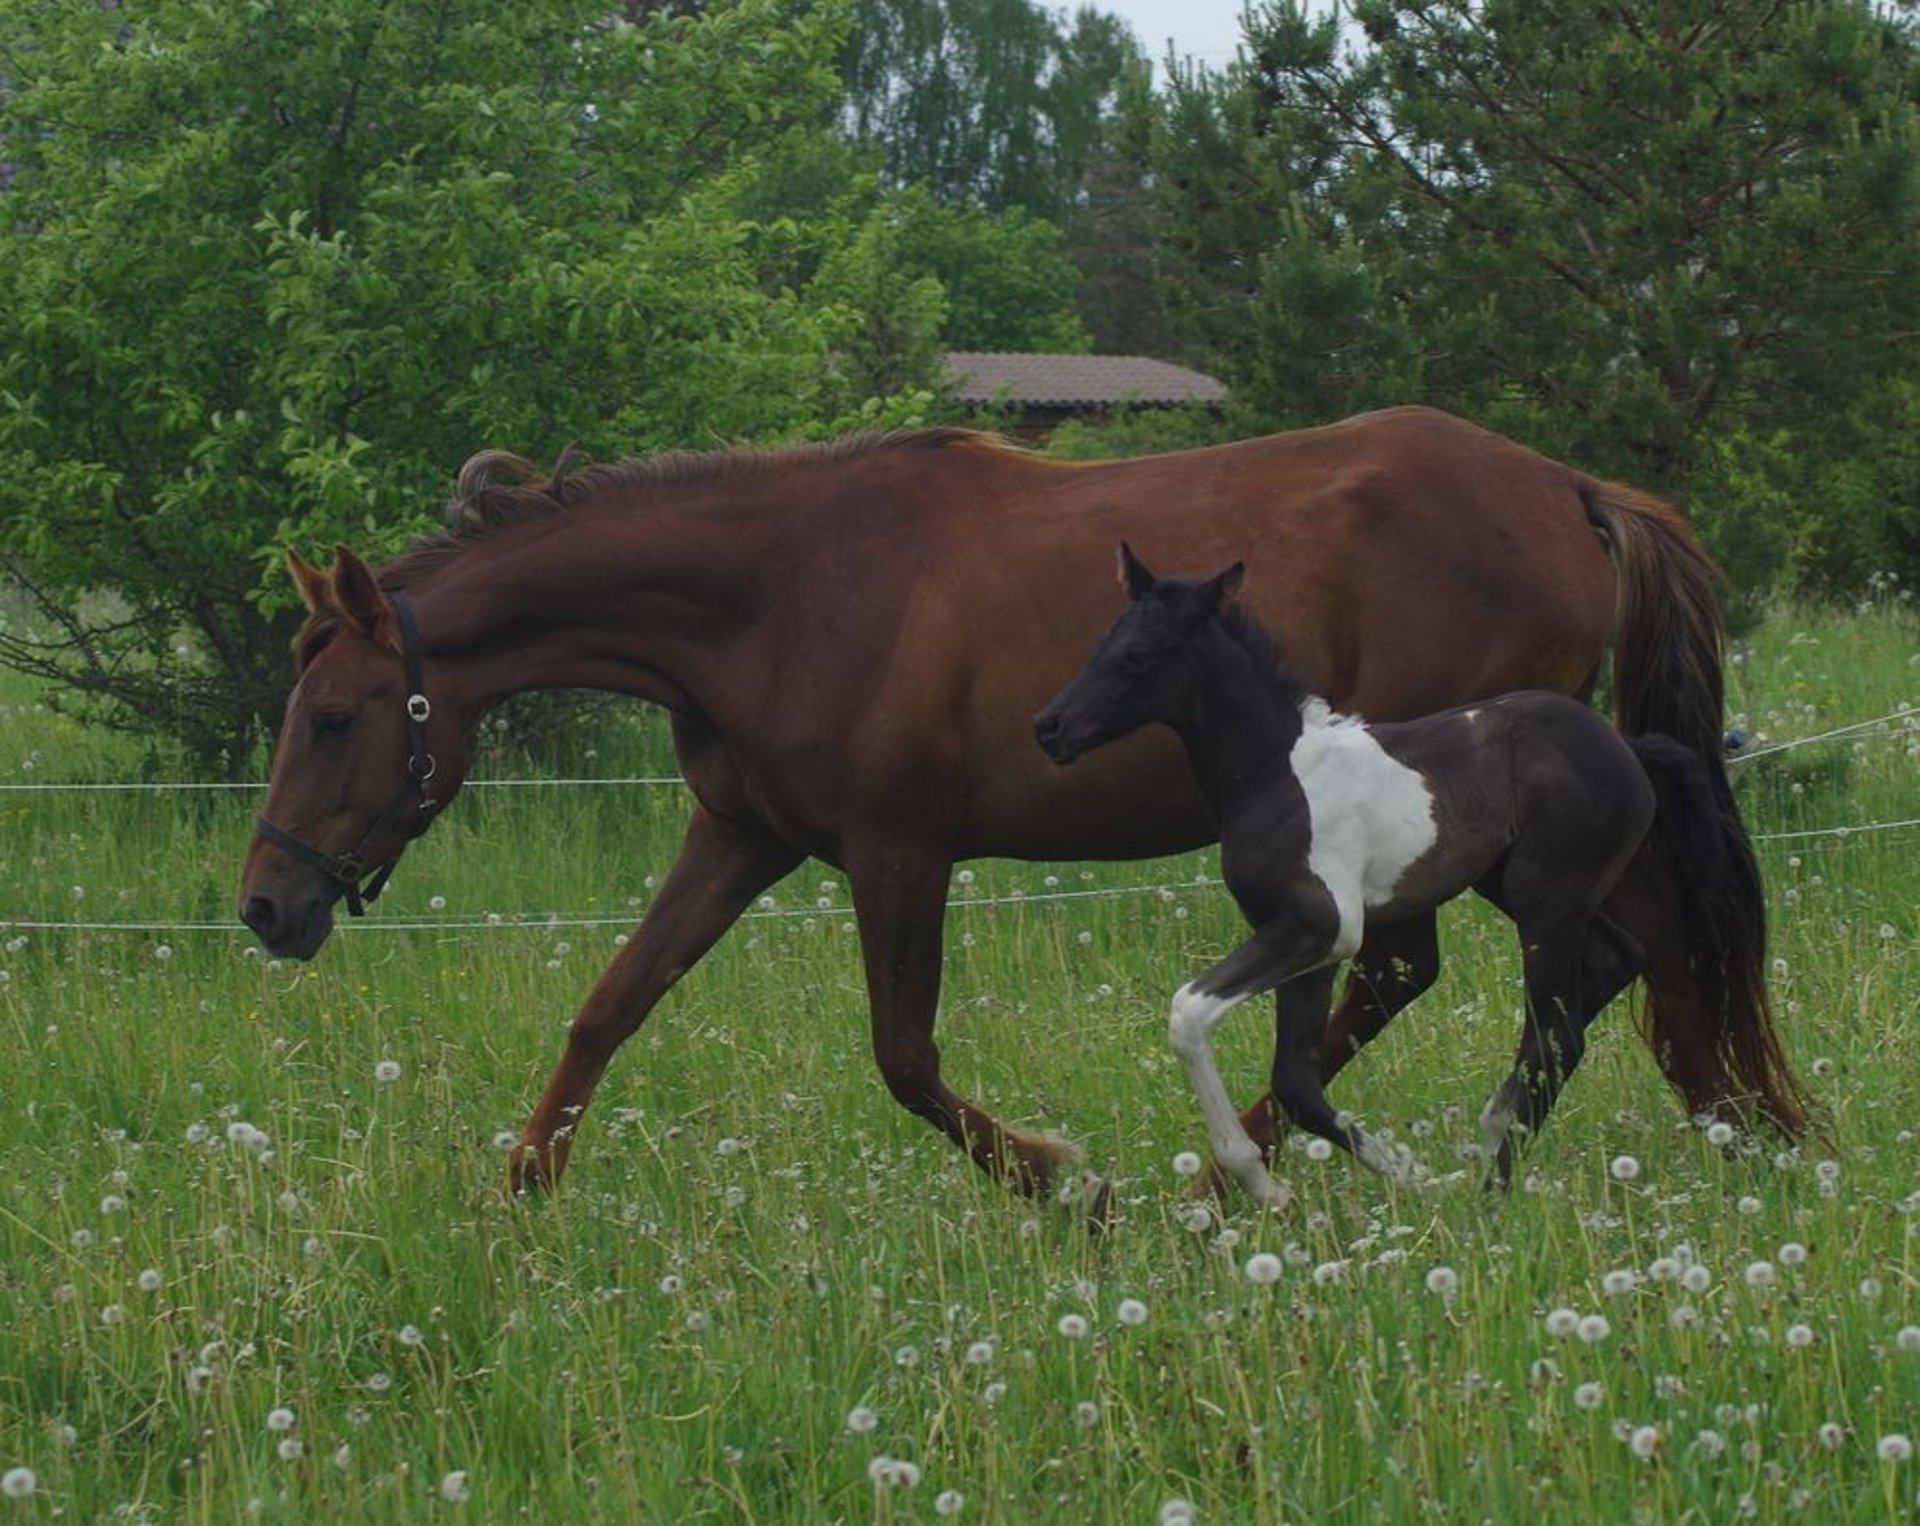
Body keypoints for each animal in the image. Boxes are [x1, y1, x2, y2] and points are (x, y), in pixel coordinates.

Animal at [1036, 545, 1738, 1202]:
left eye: (1139, 654)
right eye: (1105, 641)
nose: (1049, 727)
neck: (1276, 777)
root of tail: (1627, 746)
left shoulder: (1321, 927)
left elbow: (1188, 1014)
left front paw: (1263, 1182)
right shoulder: (1306, 948)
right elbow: (1296, 1084)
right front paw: (1410, 1179)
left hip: (1548, 898)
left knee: (1558, 1034)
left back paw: (1492, 1182)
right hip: (1522, 888)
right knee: (1614, 962)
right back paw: (1490, 1141)